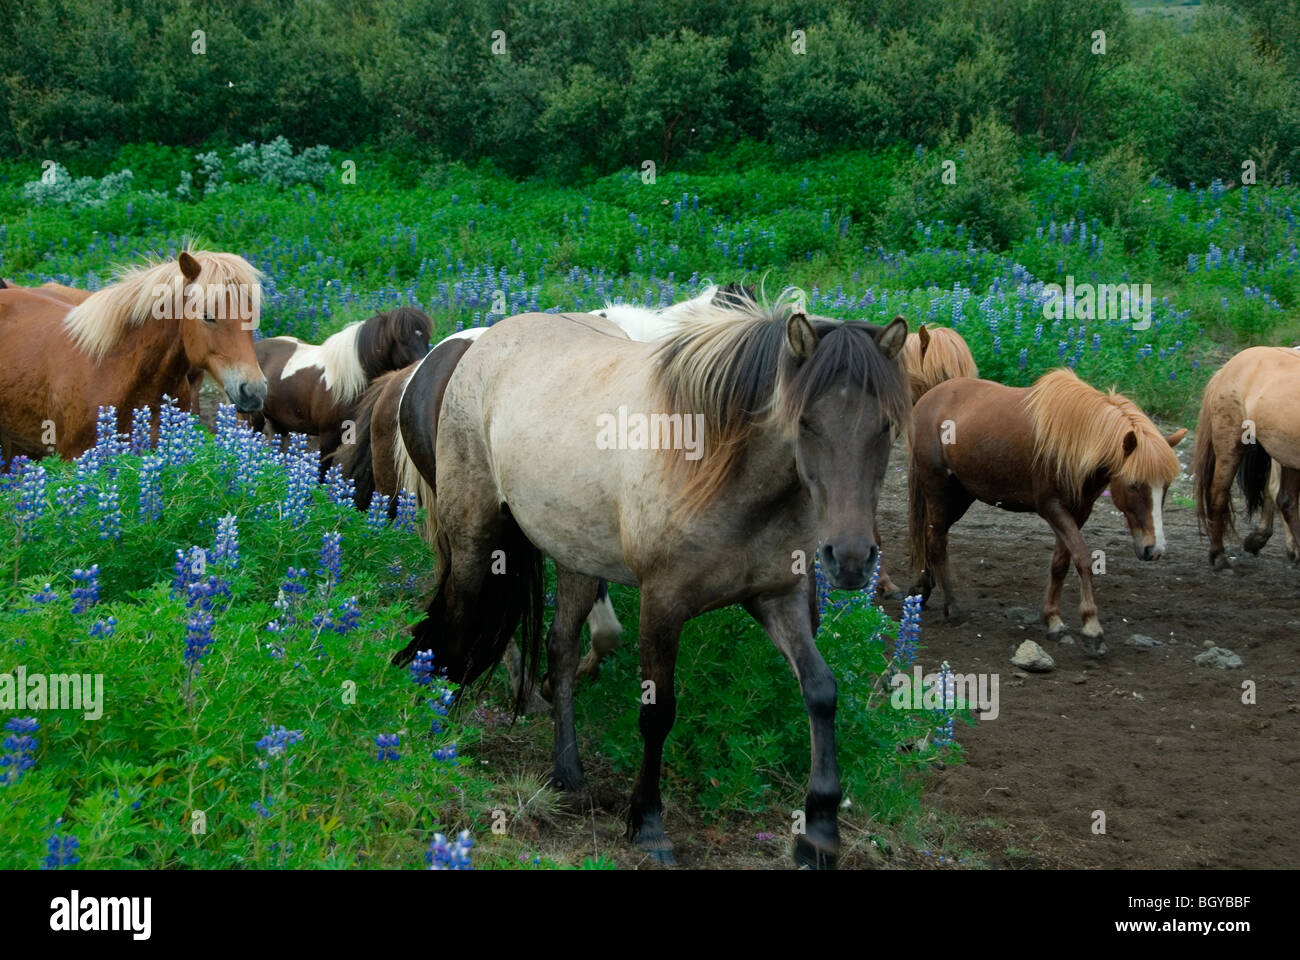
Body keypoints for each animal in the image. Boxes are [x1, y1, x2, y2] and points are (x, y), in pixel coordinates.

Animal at [251, 307, 432, 476]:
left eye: (427, 338)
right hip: (255, 419)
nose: (422, 367)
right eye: (401, 339)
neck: (351, 382)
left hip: (278, 421)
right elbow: (323, 471)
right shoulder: (328, 436)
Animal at [389, 294, 910, 868]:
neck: (721, 467)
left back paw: (568, 772)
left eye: (887, 426)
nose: (852, 559)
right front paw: (648, 823)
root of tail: (480, 344)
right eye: (807, 423)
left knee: (561, 648)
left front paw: (818, 831)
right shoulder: (663, 602)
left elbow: (820, 691)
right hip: (474, 537)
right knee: (462, 616)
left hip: (575, 555)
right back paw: (441, 711)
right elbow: (658, 711)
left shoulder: (778, 596)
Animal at [908, 369, 1185, 656]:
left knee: (928, 535)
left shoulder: (1079, 511)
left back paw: (921, 590)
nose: (1154, 549)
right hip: (938, 490)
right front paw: (1092, 628)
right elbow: (1083, 559)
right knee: (936, 542)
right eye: (1134, 485)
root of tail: (928, 398)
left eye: (1165, 486)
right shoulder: (1052, 507)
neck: (1074, 439)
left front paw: (1053, 621)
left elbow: (1060, 563)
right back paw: (953, 607)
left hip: (961, 495)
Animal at [1193, 345, 1300, 568]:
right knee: (1218, 494)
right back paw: (1219, 556)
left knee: (1287, 500)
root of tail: (1227, 367)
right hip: (1230, 444)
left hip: (1287, 454)